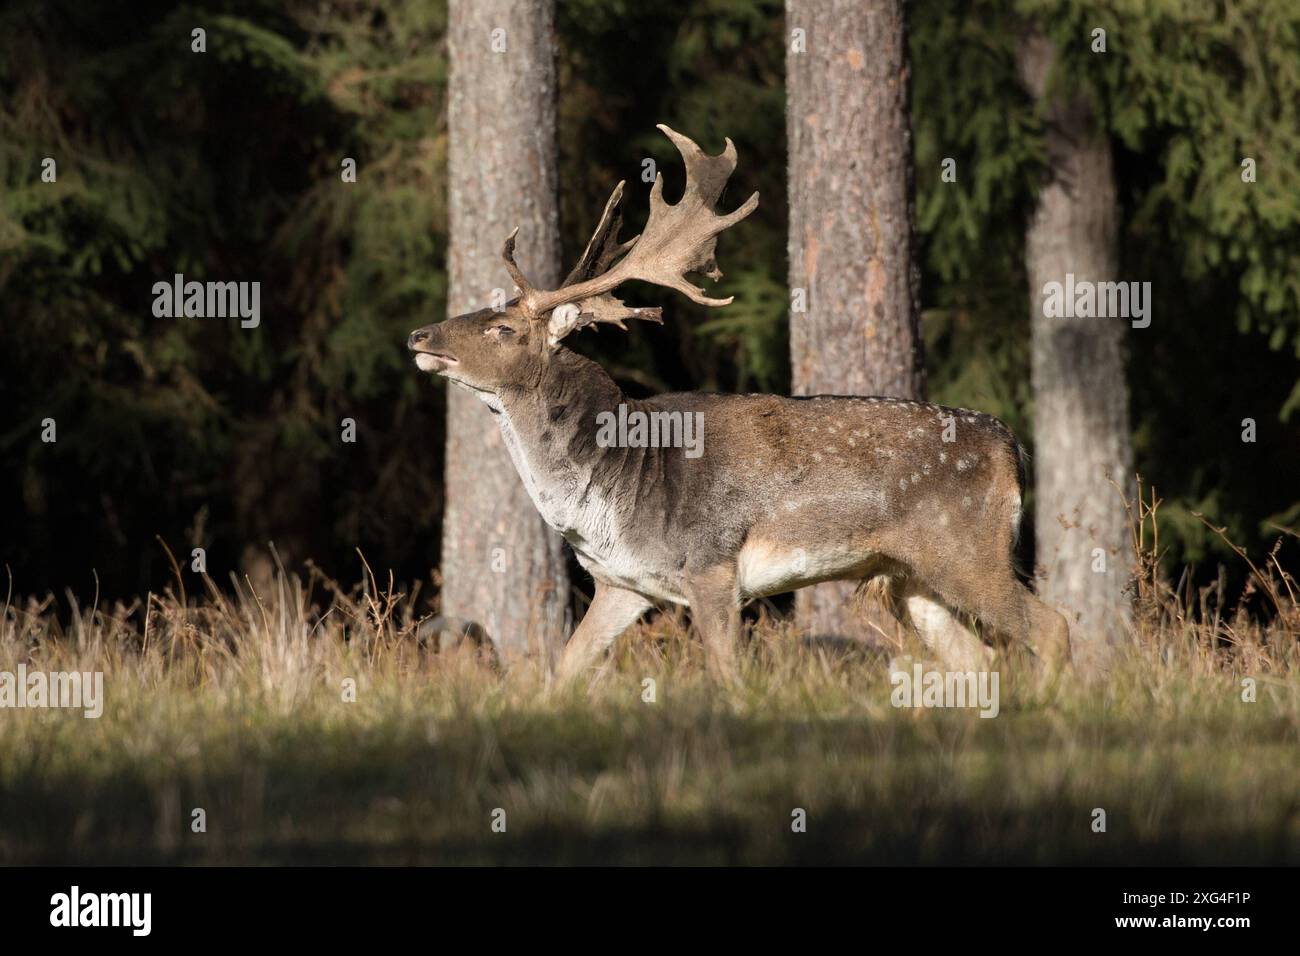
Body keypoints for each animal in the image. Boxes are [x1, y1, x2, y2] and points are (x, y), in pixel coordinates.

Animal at [408, 125, 1070, 685]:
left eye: (502, 329)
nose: (419, 336)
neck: (614, 487)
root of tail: (1012, 446)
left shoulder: (711, 564)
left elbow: (728, 676)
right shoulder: (624, 584)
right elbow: (564, 671)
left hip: (966, 548)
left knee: (1053, 627)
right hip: (913, 577)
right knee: (980, 657)